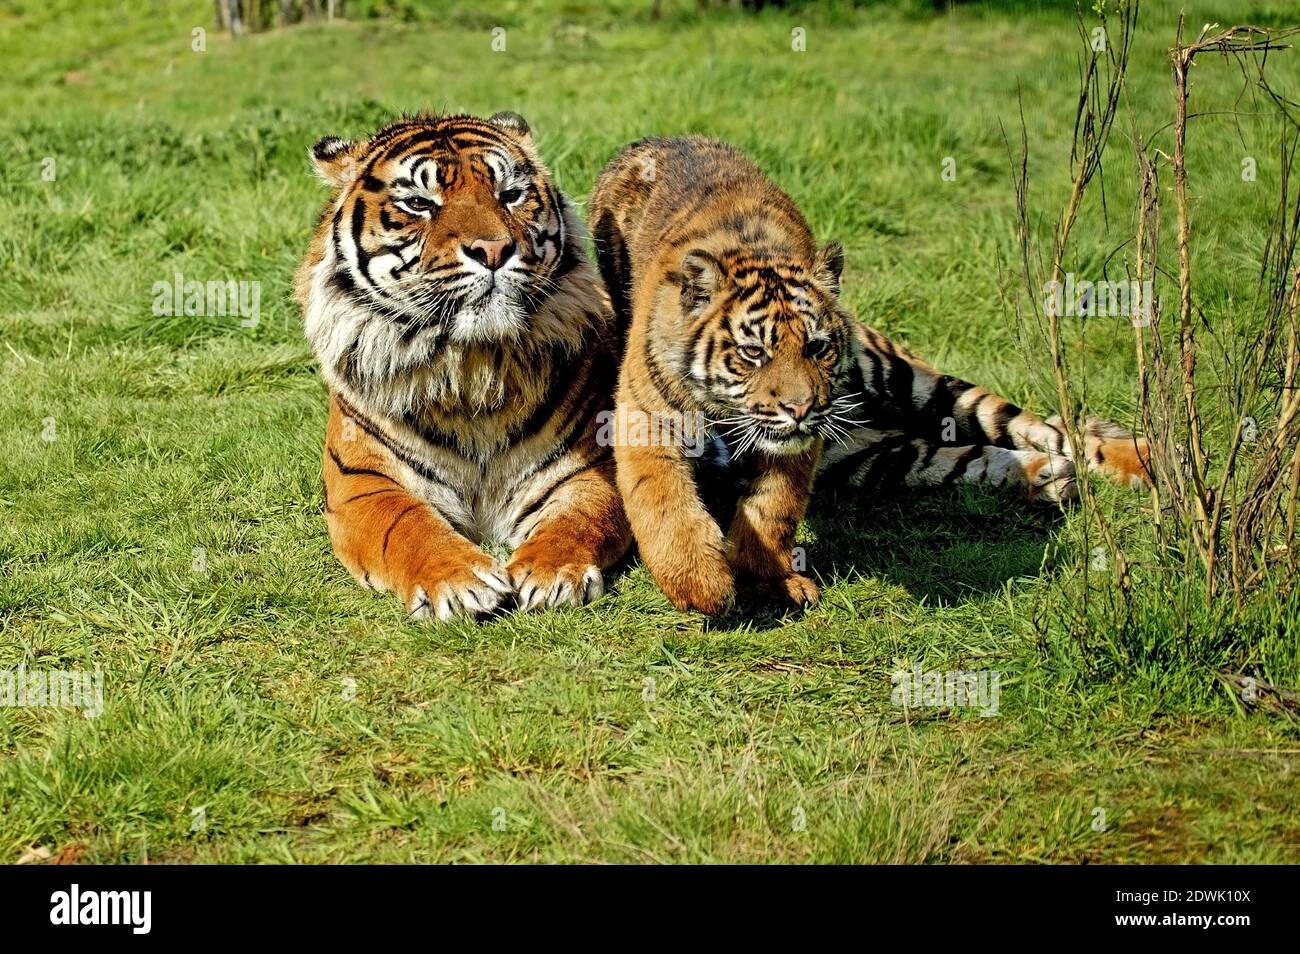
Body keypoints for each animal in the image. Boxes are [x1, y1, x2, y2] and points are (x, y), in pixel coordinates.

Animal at [295, 111, 630, 622]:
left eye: (509, 194)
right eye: (418, 203)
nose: (493, 250)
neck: (473, 367)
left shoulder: (593, 465)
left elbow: (576, 518)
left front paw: (551, 573)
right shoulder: (364, 483)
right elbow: (408, 524)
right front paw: (459, 580)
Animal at [589, 135, 1149, 615]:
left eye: (817, 347)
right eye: (753, 352)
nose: (800, 409)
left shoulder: (799, 447)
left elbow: (773, 509)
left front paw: (768, 581)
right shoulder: (648, 417)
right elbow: (663, 503)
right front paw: (701, 585)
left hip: (908, 381)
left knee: (1042, 427)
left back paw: (1145, 461)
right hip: (875, 455)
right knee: (960, 456)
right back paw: (1047, 477)